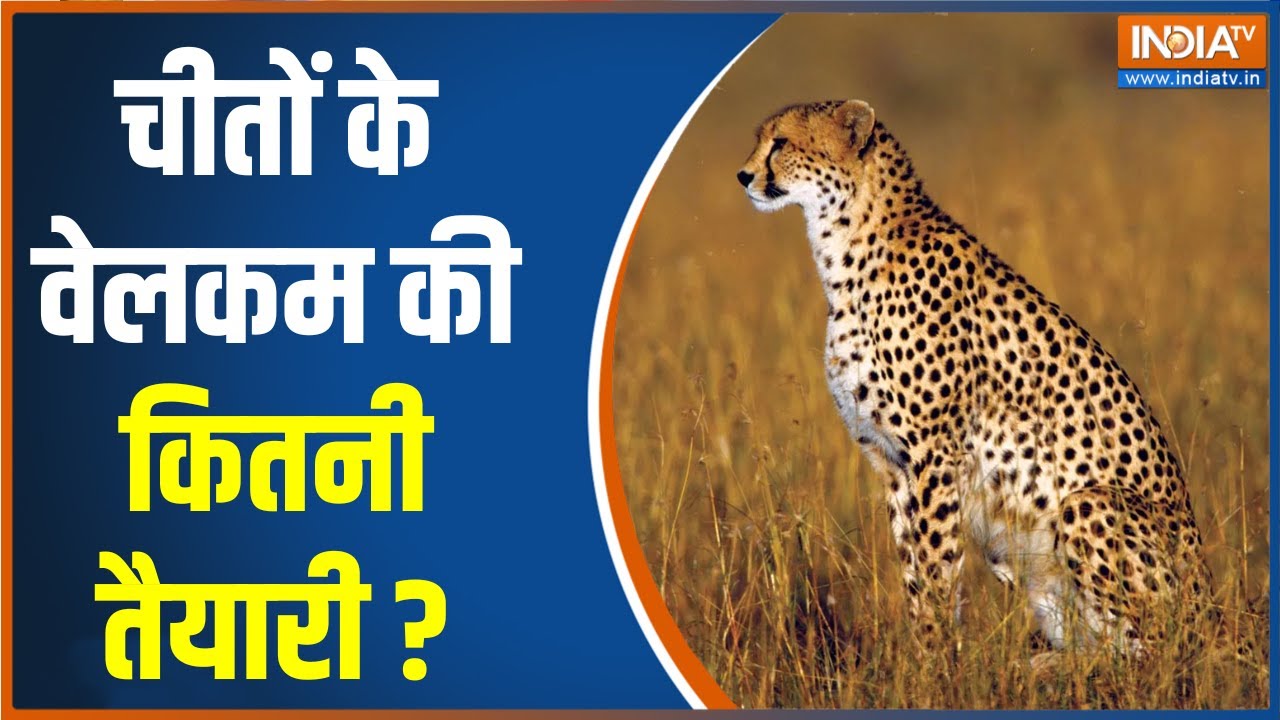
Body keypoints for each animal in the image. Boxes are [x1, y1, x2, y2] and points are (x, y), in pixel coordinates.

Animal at [735, 99, 1217, 668]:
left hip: (1087, 504)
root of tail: (1217, 609)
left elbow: (937, 567)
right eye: (761, 139)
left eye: (782, 143)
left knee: (1161, 654)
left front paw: (937, 662)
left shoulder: (935, 454)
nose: (744, 175)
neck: (848, 245)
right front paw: (925, 659)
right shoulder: (891, 461)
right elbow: (915, 570)